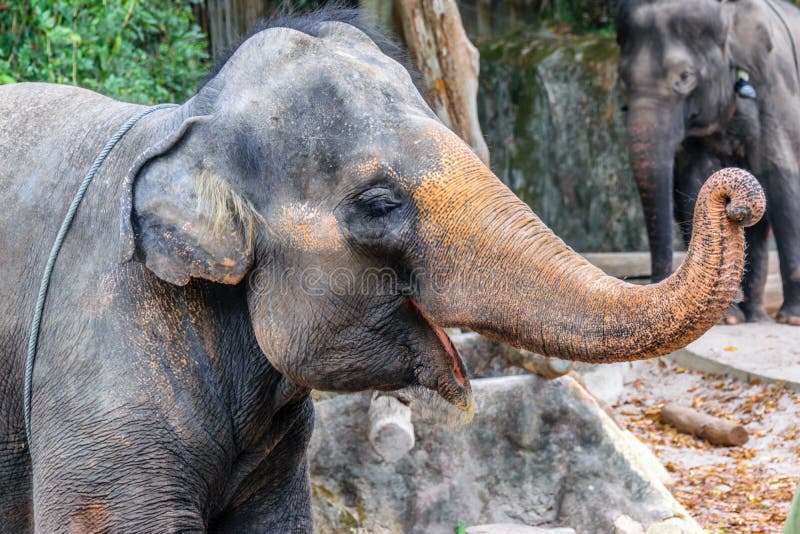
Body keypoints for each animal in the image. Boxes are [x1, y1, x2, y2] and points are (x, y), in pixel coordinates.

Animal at [616, 0, 800, 324]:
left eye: (685, 77)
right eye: (623, 78)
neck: (731, 12)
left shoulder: (777, 92)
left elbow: (782, 181)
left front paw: (792, 318)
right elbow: (698, 179)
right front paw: (727, 318)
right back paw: (753, 316)